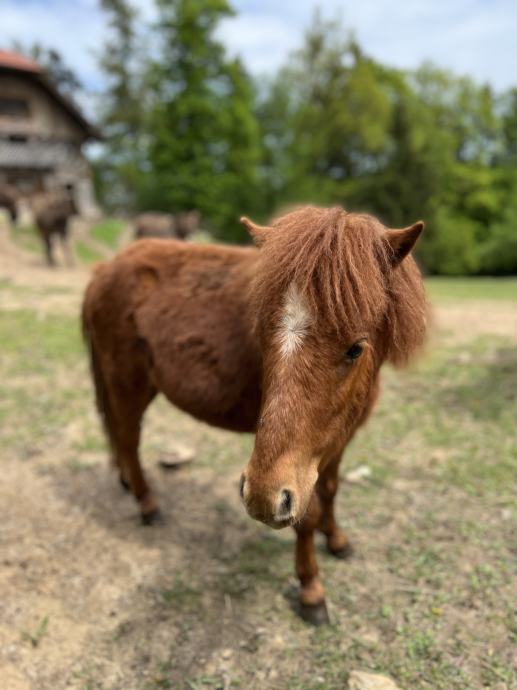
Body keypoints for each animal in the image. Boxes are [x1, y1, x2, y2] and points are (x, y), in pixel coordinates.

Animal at [82, 205, 427, 625]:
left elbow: (330, 490)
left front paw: (337, 540)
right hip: (127, 386)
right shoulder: (302, 468)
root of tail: (105, 270)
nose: (262, 496)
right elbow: (308, 513)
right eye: (261, 334)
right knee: (129, 440)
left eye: (355, 348)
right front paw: (311, 590)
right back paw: (148, 506)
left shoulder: (337, 437)